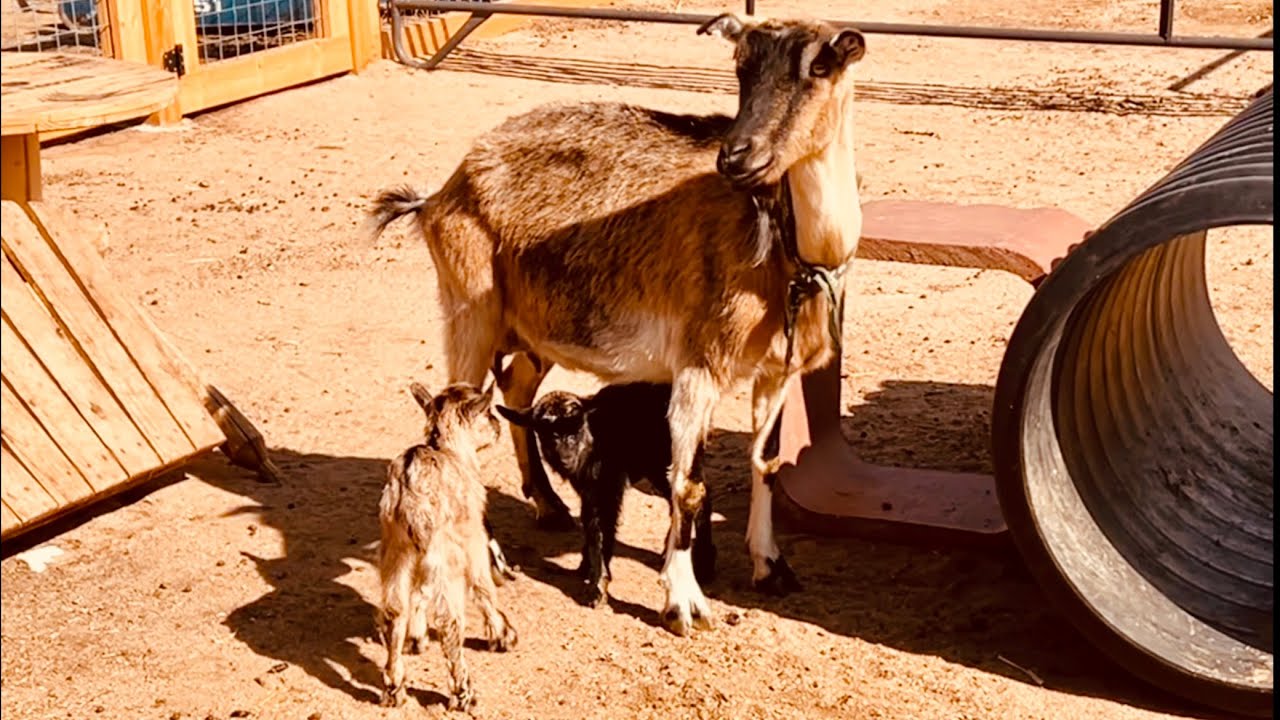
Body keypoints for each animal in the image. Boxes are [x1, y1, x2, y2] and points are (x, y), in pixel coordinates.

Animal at [377, 381, 518, 711]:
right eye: (487, 412)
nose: (497, 426)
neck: (451, 451)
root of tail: (411, 490)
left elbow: (419, 593)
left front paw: (416, 638)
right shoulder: (473, 540)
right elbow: (483, 586)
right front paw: (502, 634)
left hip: (397, 552)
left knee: (393, 611)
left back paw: (394, 688)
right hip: (446, 558)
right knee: (449, 620)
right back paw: (463, 692)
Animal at [495, 383, 716, 608]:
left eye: (577, 429)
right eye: (548, 433)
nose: (566, 458)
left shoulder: (607, 484)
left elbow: (601, 527)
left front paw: (597, 587)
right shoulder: (587, 489)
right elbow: (589, 522)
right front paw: (585, 566)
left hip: (667, 460)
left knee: (696, 493)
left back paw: (703, 564)